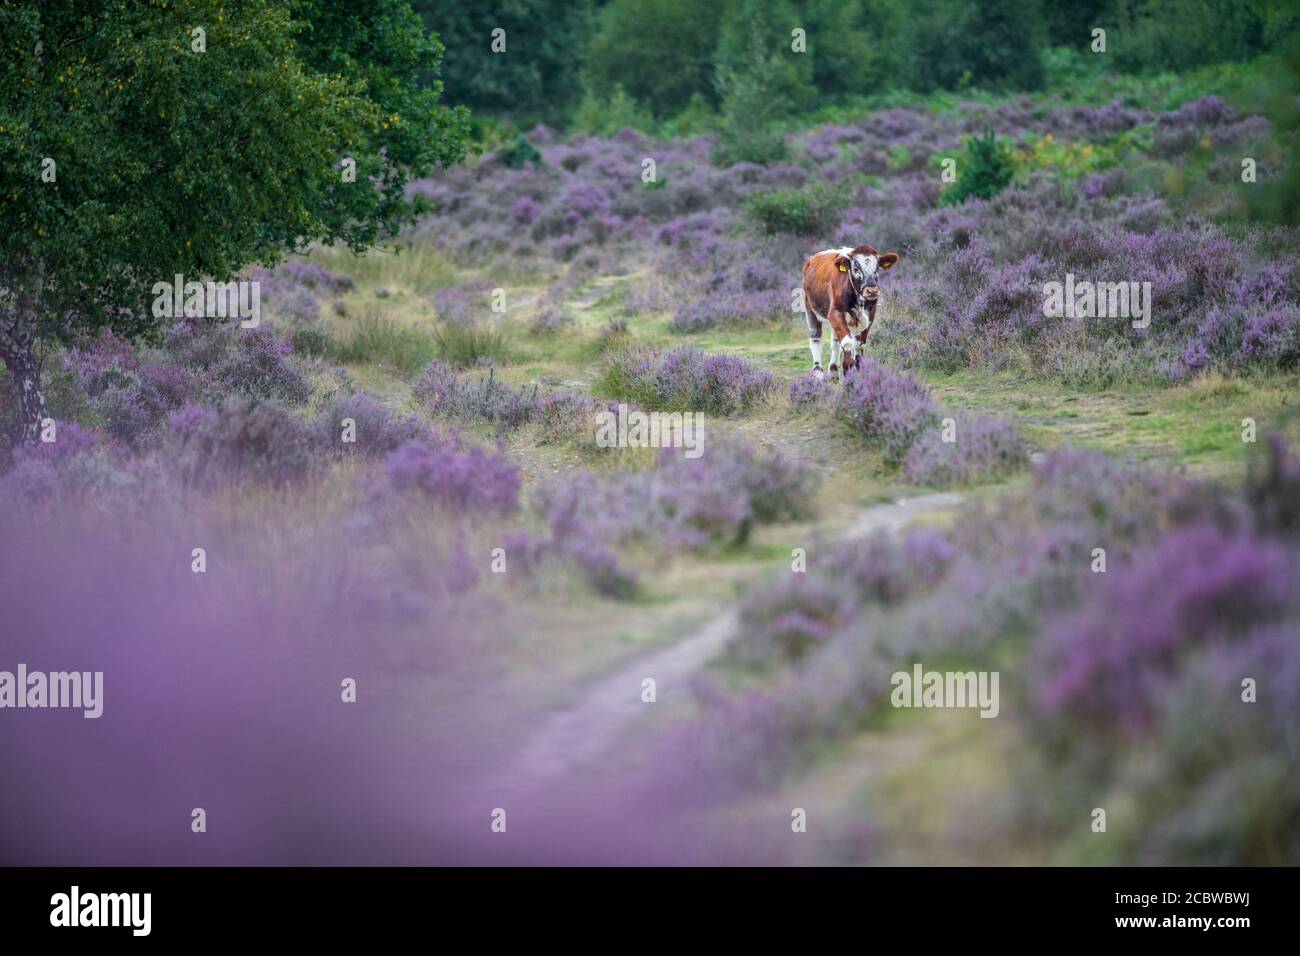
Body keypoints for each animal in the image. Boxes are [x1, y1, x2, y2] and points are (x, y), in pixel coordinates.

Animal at [801, 244, 899, 381]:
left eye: (877, 268)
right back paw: (818, 373)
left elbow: (858, 344)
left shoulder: (870, 316)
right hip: (810, 308)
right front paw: (848, 370)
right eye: (856, 268)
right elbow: (848, 342)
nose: (872, 291)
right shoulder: (835, 312)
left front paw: (859, 372)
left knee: (835, 341)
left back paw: (833, 370)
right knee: (815, 339)